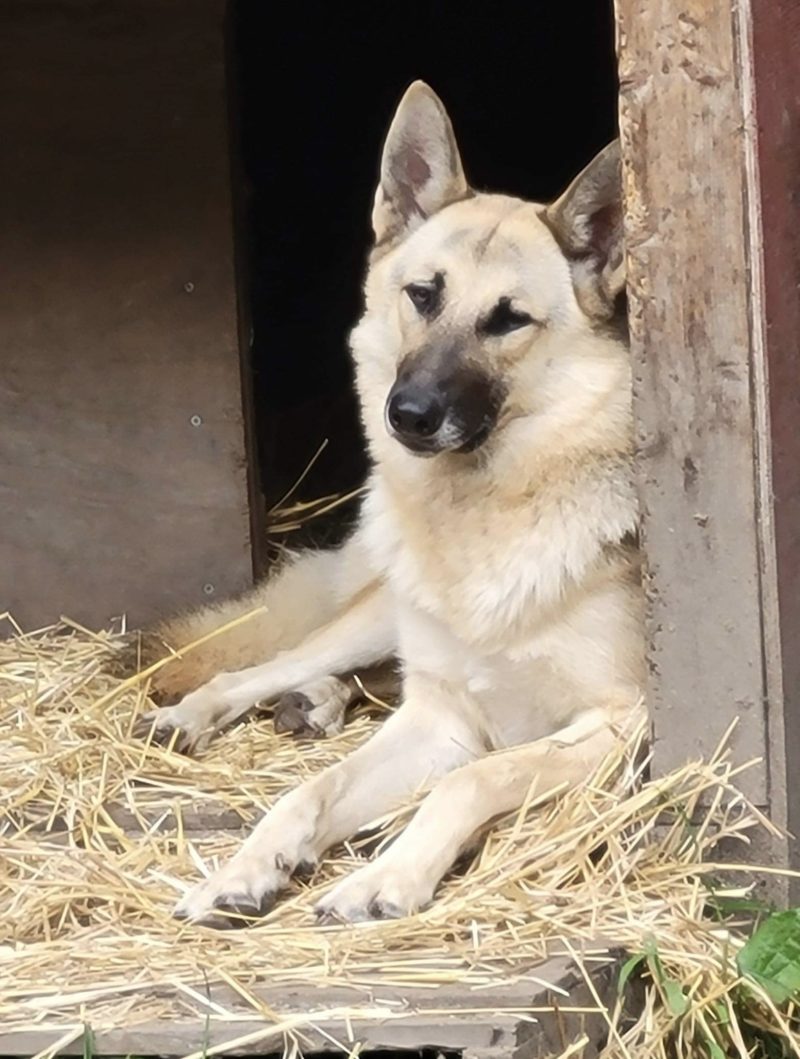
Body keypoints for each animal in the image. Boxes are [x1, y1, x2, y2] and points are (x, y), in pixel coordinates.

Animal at [137, 82, 644, 925]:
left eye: (509, 319)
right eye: (424, 296)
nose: (407, 414)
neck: (485, 512)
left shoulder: (621, 723)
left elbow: (472, 777)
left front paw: (383, 878)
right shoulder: (438, 719)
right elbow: (310, 791)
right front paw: (245, 867)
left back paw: (317, 703)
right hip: (372, 618)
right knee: (268, 666)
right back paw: (233, 707)